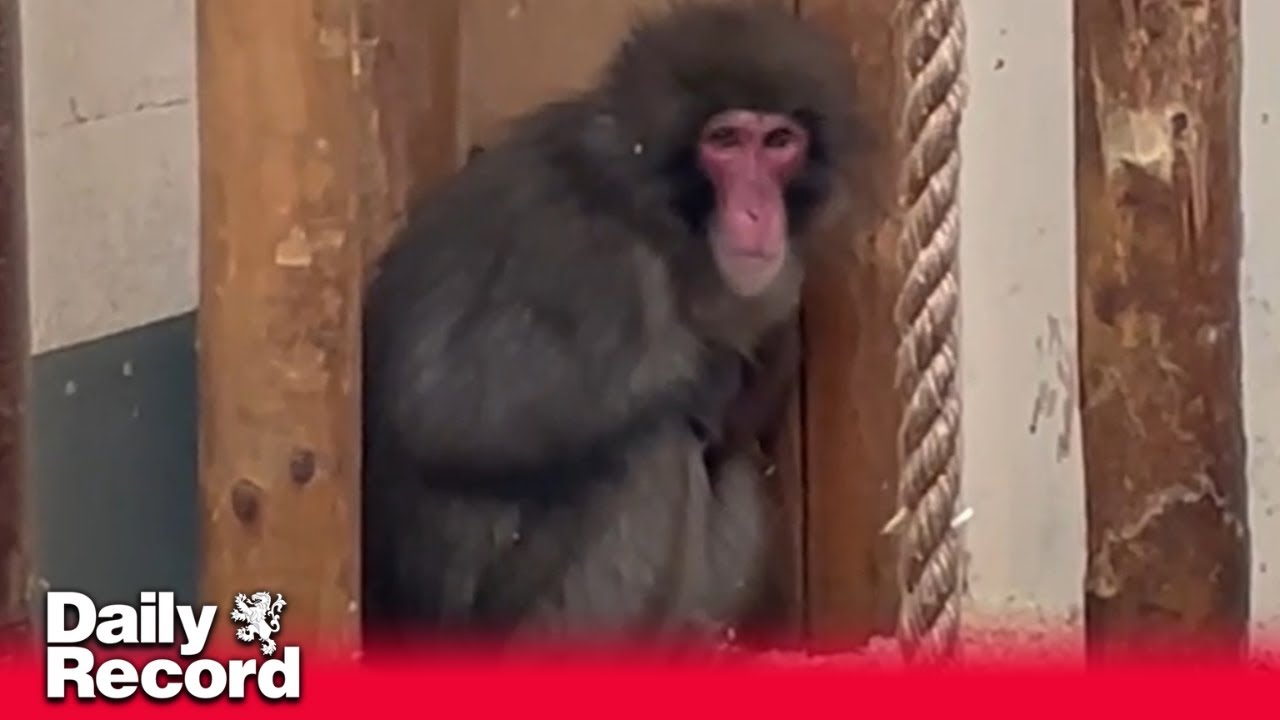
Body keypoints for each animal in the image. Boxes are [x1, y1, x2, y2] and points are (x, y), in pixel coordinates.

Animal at [360, 2, 867, 649]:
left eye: (780, 142)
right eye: (724, 140)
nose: (758, 211)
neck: (657, 210)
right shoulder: (595, 260)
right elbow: (449, 408)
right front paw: (705, 374)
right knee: (654, 449)